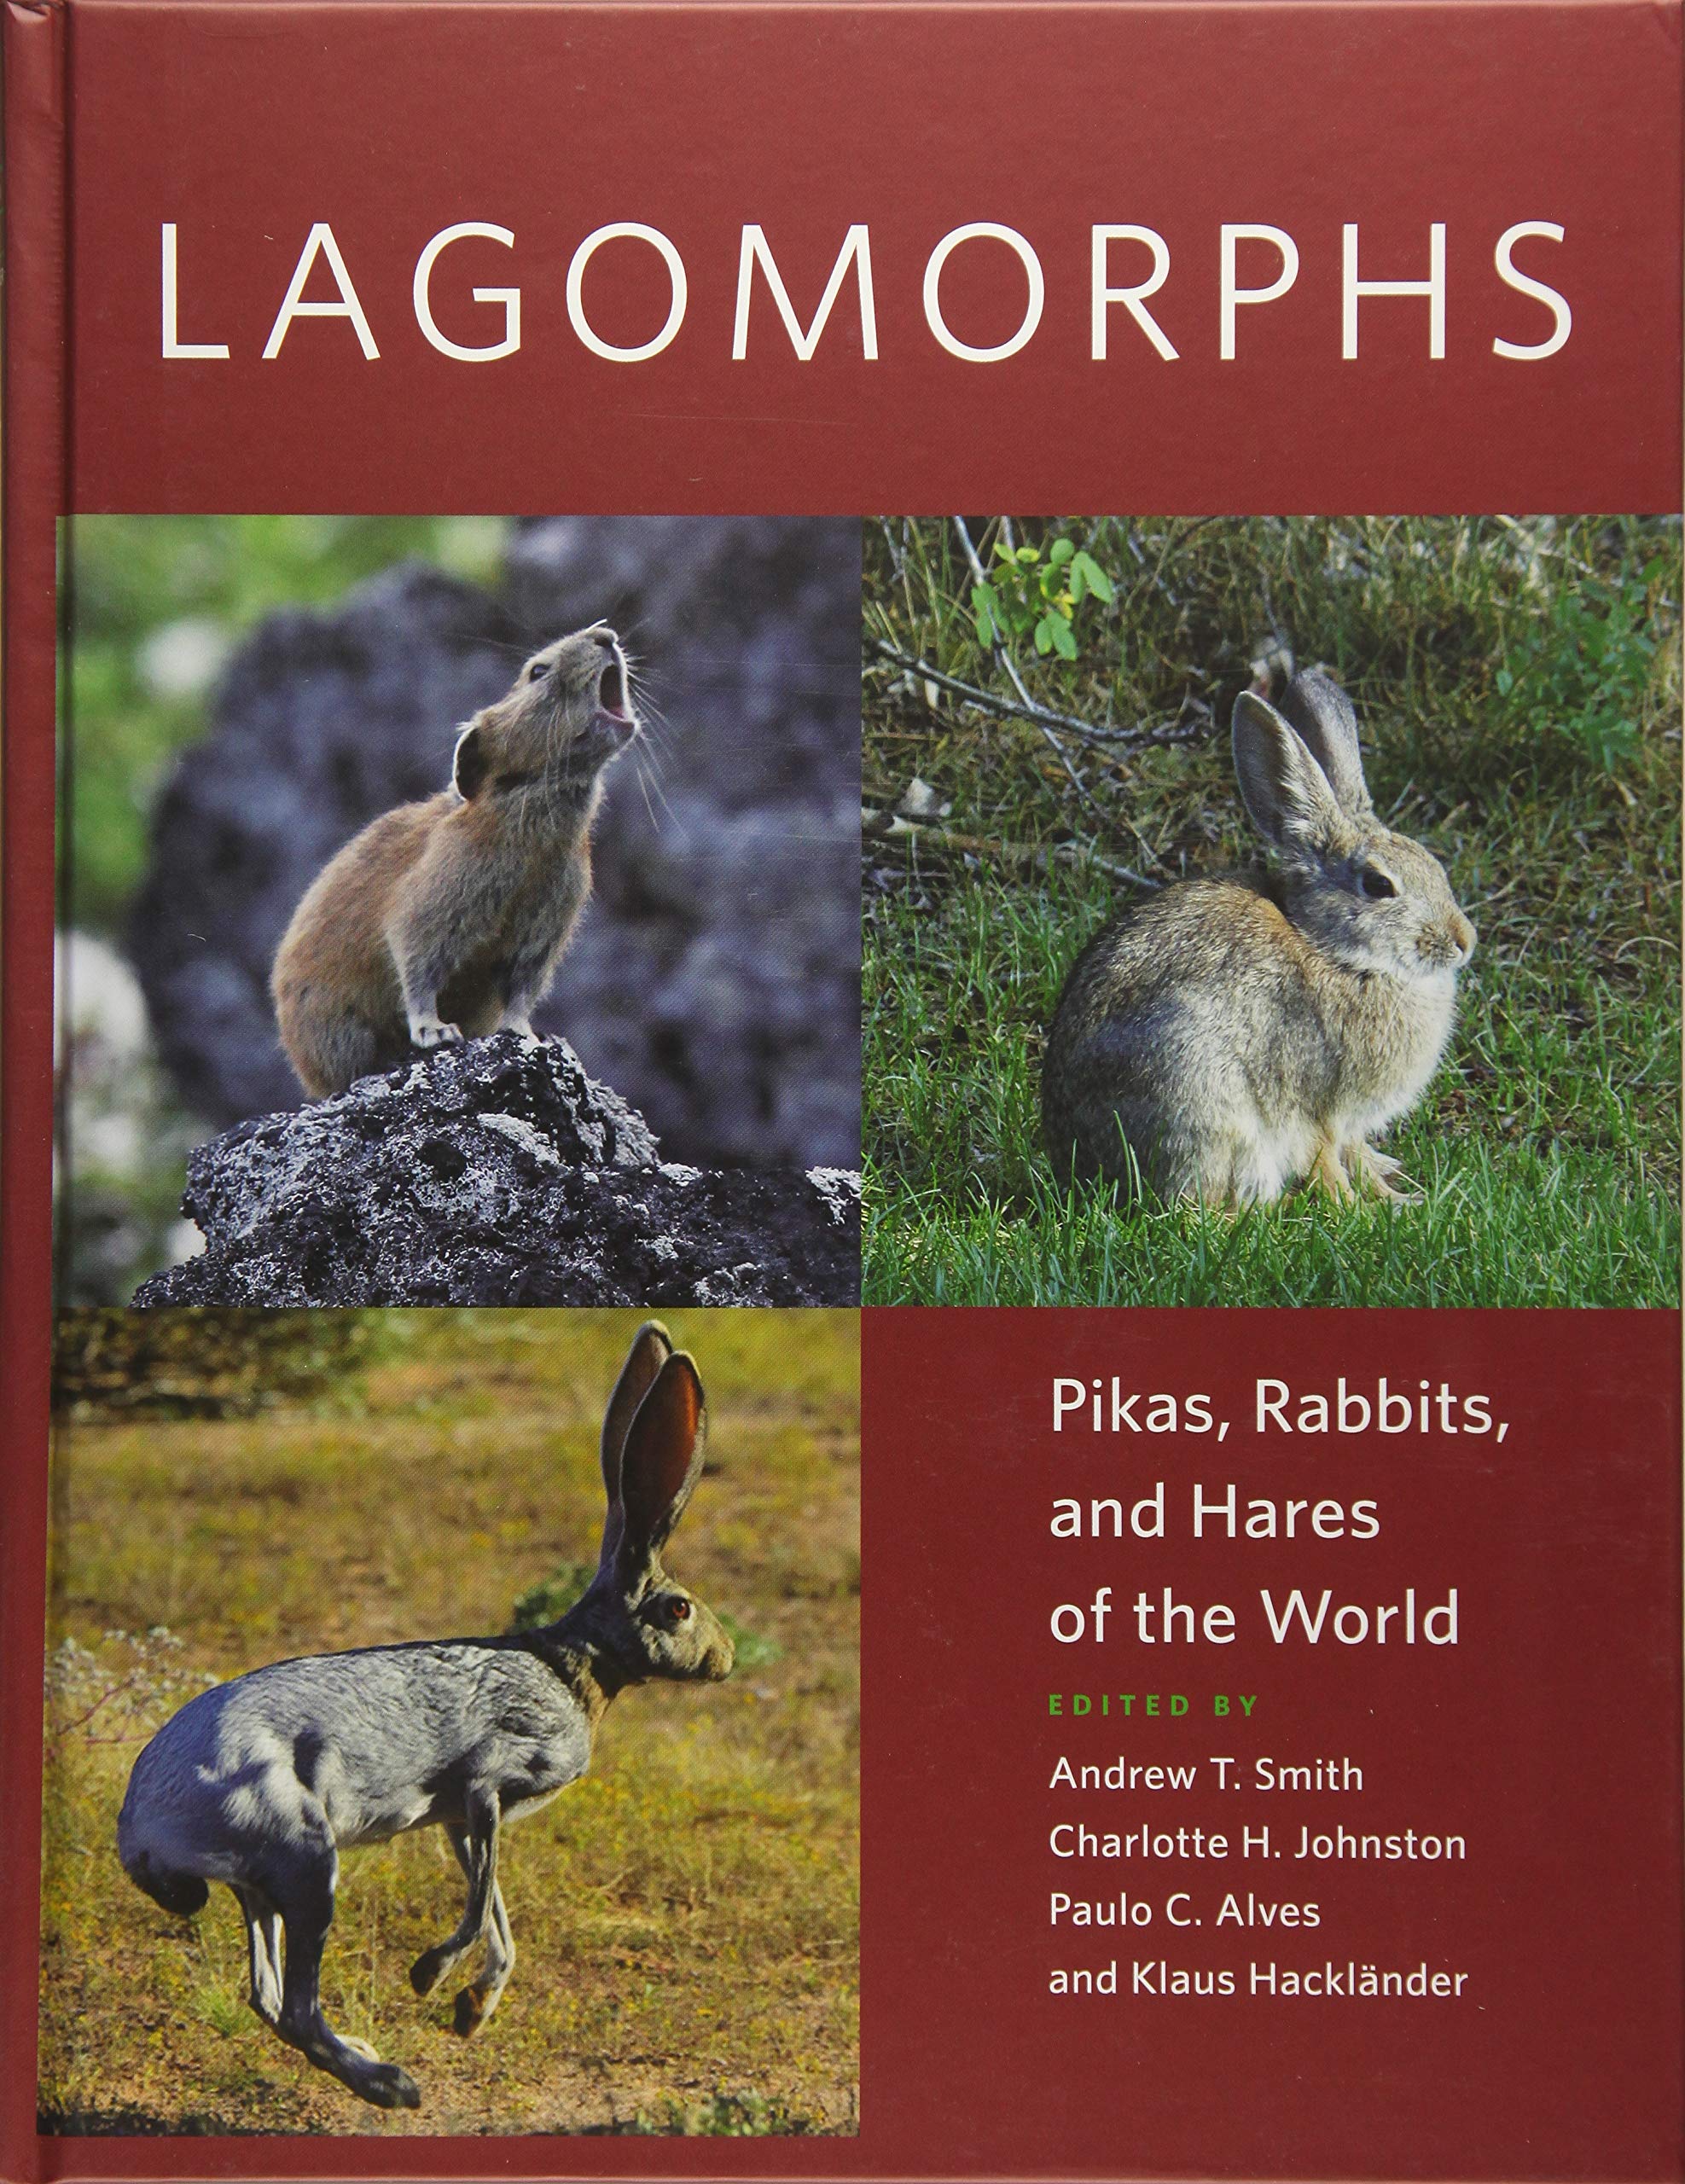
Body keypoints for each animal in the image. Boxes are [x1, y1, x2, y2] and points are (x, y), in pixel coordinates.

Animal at [116, 1322, 733, 2112]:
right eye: (678, 1609)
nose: (725, 1660)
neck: (574, 1661)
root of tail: (139, 1831)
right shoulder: (489, 1780)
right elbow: (478, 1906)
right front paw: (430, 1979)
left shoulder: (461, 1819)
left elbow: (497, 1911)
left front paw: (471, 2013)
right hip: (303, 1859)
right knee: (295, 2006)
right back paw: (392, 2086)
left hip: (260, 1887)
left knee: (266, 1995)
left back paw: (368, 2054)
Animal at [1041, 668, 1475, 1208]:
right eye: (1378, 885)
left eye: (1434, 865)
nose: (1464, 941)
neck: (1338, 956)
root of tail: (1072, 1158)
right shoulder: (1316, 1106)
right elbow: (1326, 1159)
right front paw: (1366, 1208)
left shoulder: (1347, 1122)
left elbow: (1354, 1151)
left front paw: (1390, 1188)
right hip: (1198, 1096)